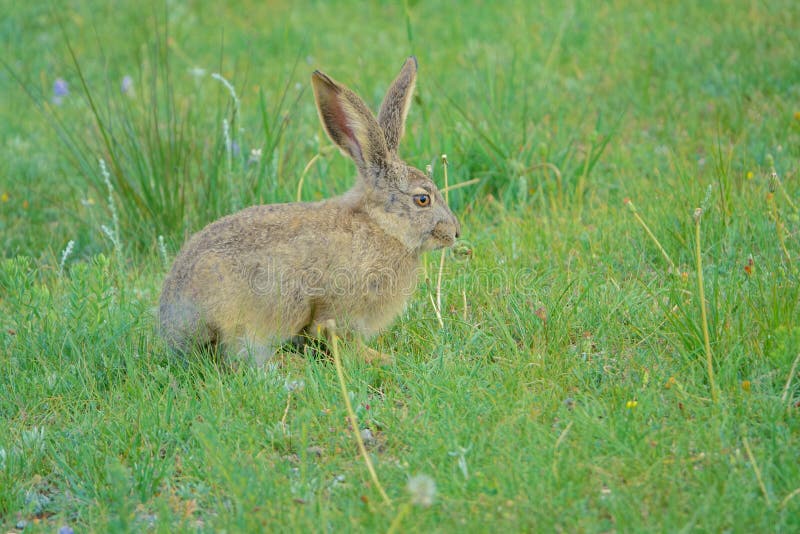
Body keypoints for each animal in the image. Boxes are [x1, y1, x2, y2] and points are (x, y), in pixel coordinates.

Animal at [158, 56, 460, 366]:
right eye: (422, 199)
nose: (455, 232)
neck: (381, 226)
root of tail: (173, 325)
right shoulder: (340, 306)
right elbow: (338, 337)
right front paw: (381, 358)